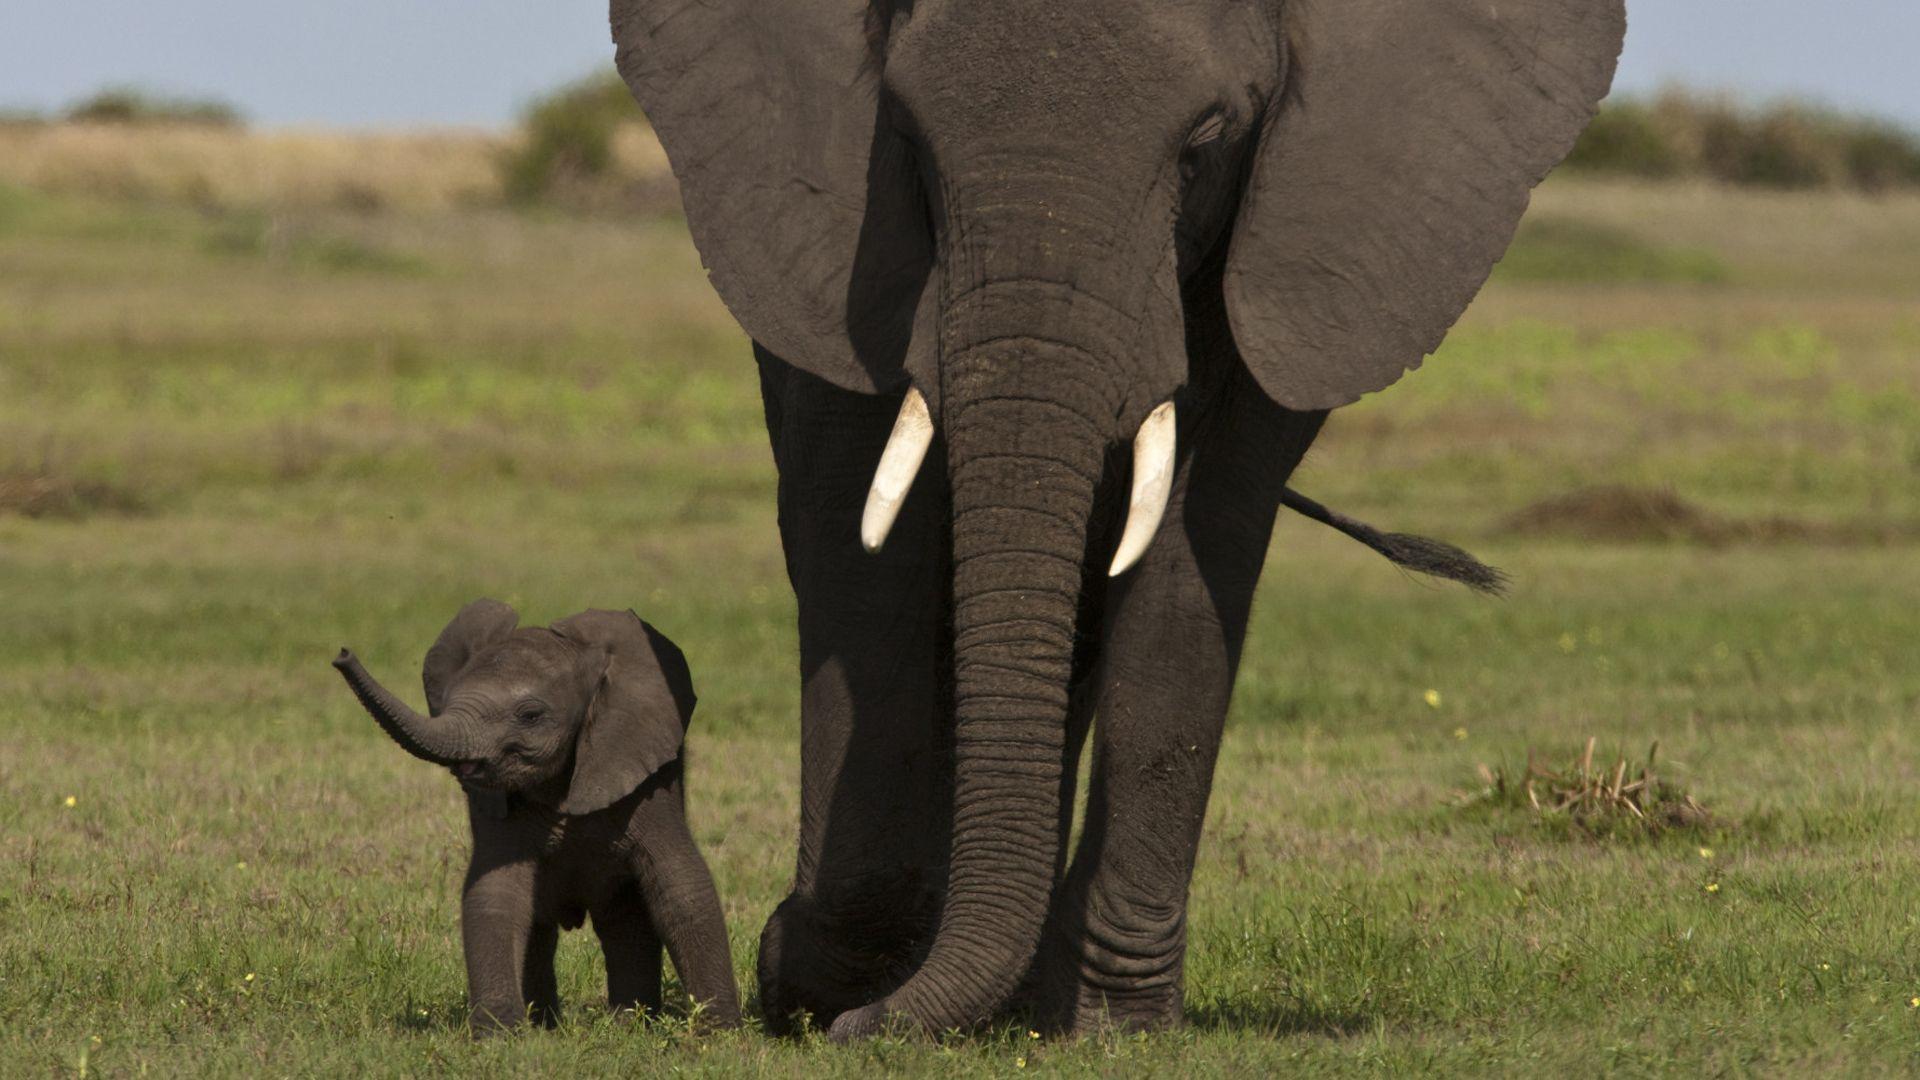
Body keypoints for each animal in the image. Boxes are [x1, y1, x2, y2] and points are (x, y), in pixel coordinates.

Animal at [332, 600, 741, 1035]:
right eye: (445, 699)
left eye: (530, 715)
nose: (342, 653)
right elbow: (495, 892)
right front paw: (500, 1035)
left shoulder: (645, 777)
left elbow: (682, 885)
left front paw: (719, 1034)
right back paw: (551, 1025)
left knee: (626, 923)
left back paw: (625, 1027)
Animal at [608, 0, 1625, 1039]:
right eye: (910, 139)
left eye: (1205, 144)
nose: (864, 1027)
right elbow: (864, 535)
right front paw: (830, 994)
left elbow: (1194, 546)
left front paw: (1107, 1023)